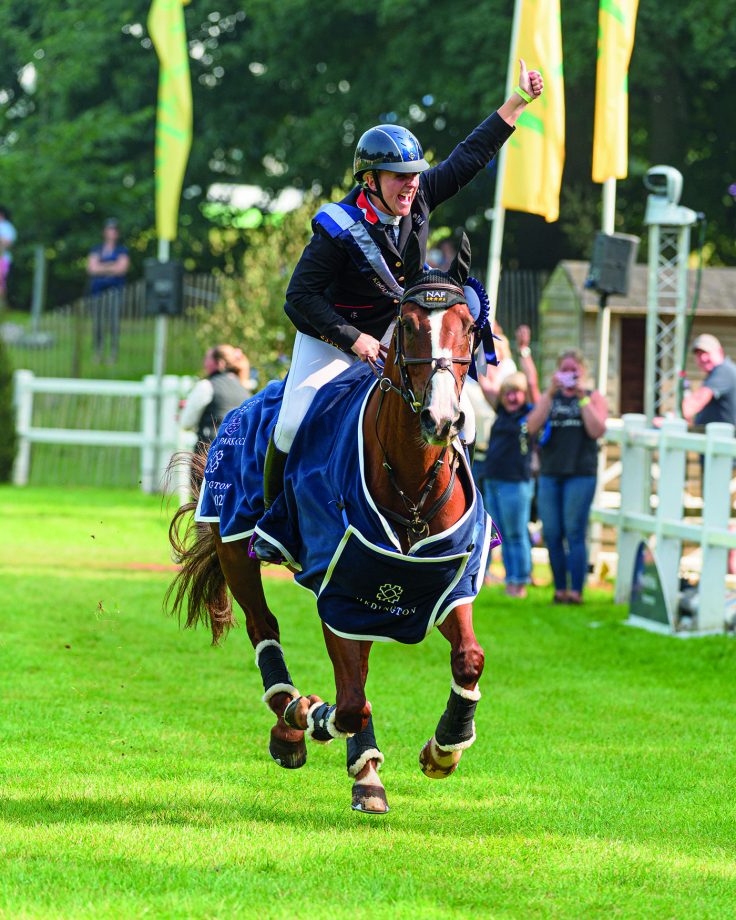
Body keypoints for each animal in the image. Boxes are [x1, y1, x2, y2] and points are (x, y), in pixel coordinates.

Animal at [167, 233, 496, 814]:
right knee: (265, 628)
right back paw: (292, 719)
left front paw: (444, 747)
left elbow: (467, 660)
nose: (442, 420)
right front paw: (319, 725)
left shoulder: (445, 580)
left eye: (468, 325)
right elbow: (348, 703)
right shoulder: (341, 585)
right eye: (408, 323)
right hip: (234, 543)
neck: (410, 479)